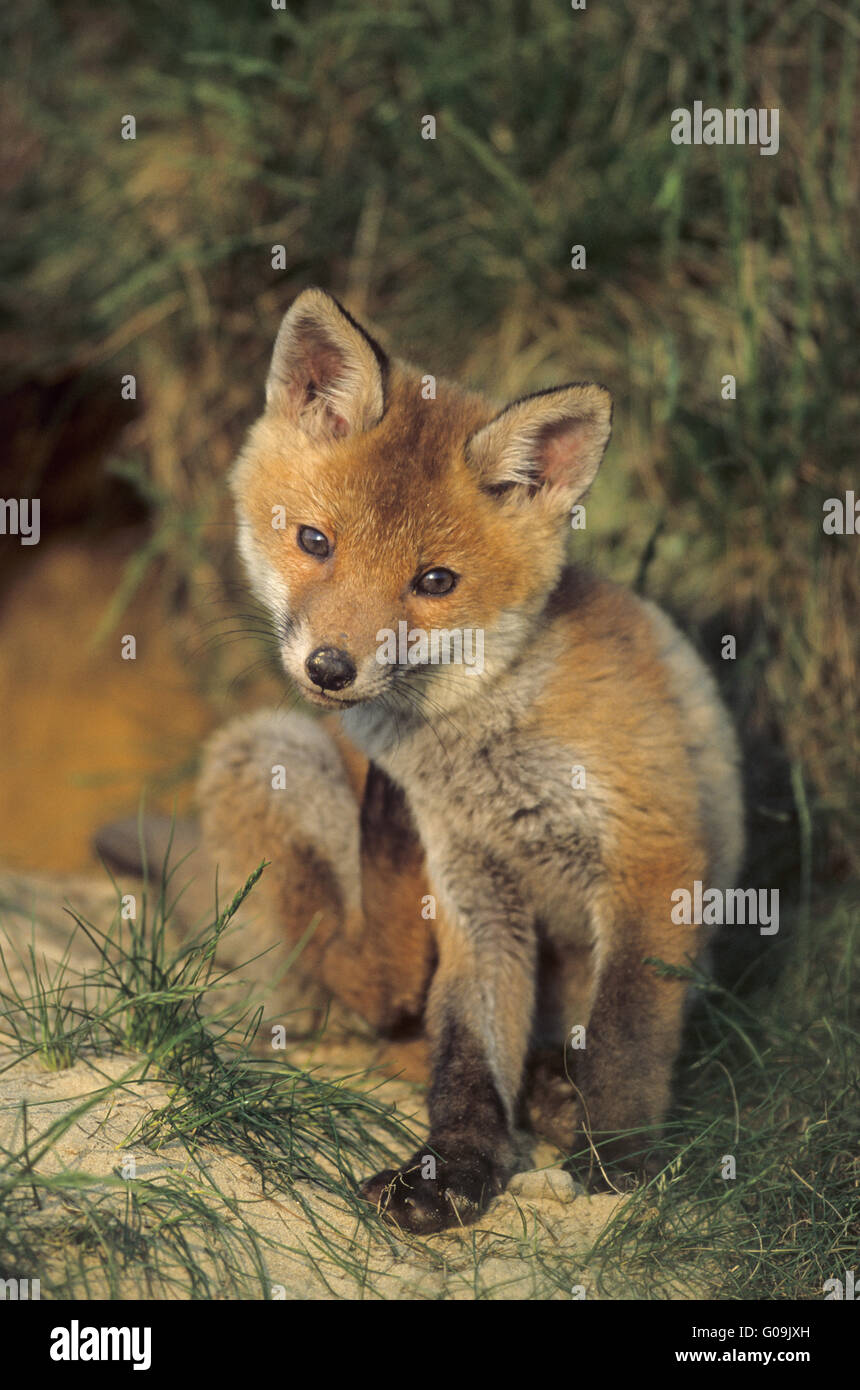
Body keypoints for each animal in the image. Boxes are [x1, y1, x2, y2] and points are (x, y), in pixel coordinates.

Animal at [97, 288, 744, 1233]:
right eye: (315, 542)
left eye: (435, 582)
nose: (330, 668)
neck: (485, 747)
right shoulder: (473, 888)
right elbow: (466, 1053)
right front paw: (455, 1169)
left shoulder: (654, 855)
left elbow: (627, 1040)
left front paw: (617, 1164)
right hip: (269, 752)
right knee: (359, 998)